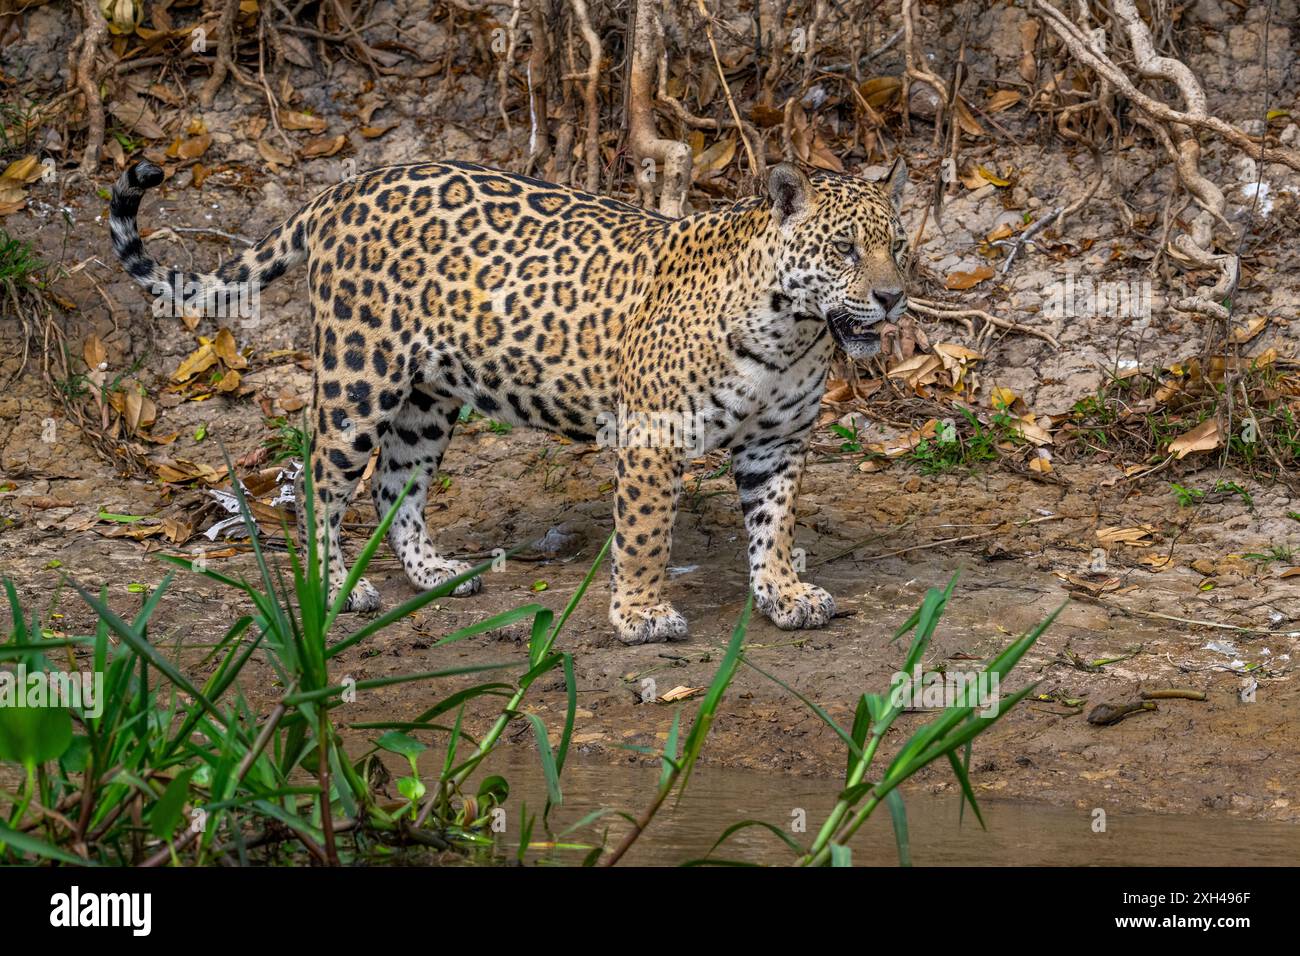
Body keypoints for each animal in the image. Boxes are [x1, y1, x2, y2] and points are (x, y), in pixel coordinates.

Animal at [109, 156, 909, 645]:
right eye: (844, 250)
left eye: (898, 244)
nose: (894, 298)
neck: (790, 330)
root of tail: (345, 188)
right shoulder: (652, 437)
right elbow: (645, 534)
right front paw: (641, 614)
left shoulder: (778, 443)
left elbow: (773, 524)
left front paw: (784, 594)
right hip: (359, 377)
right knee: (315, 482)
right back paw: (333, 587)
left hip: (426, 397)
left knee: (396, 486)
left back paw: (434, 574)